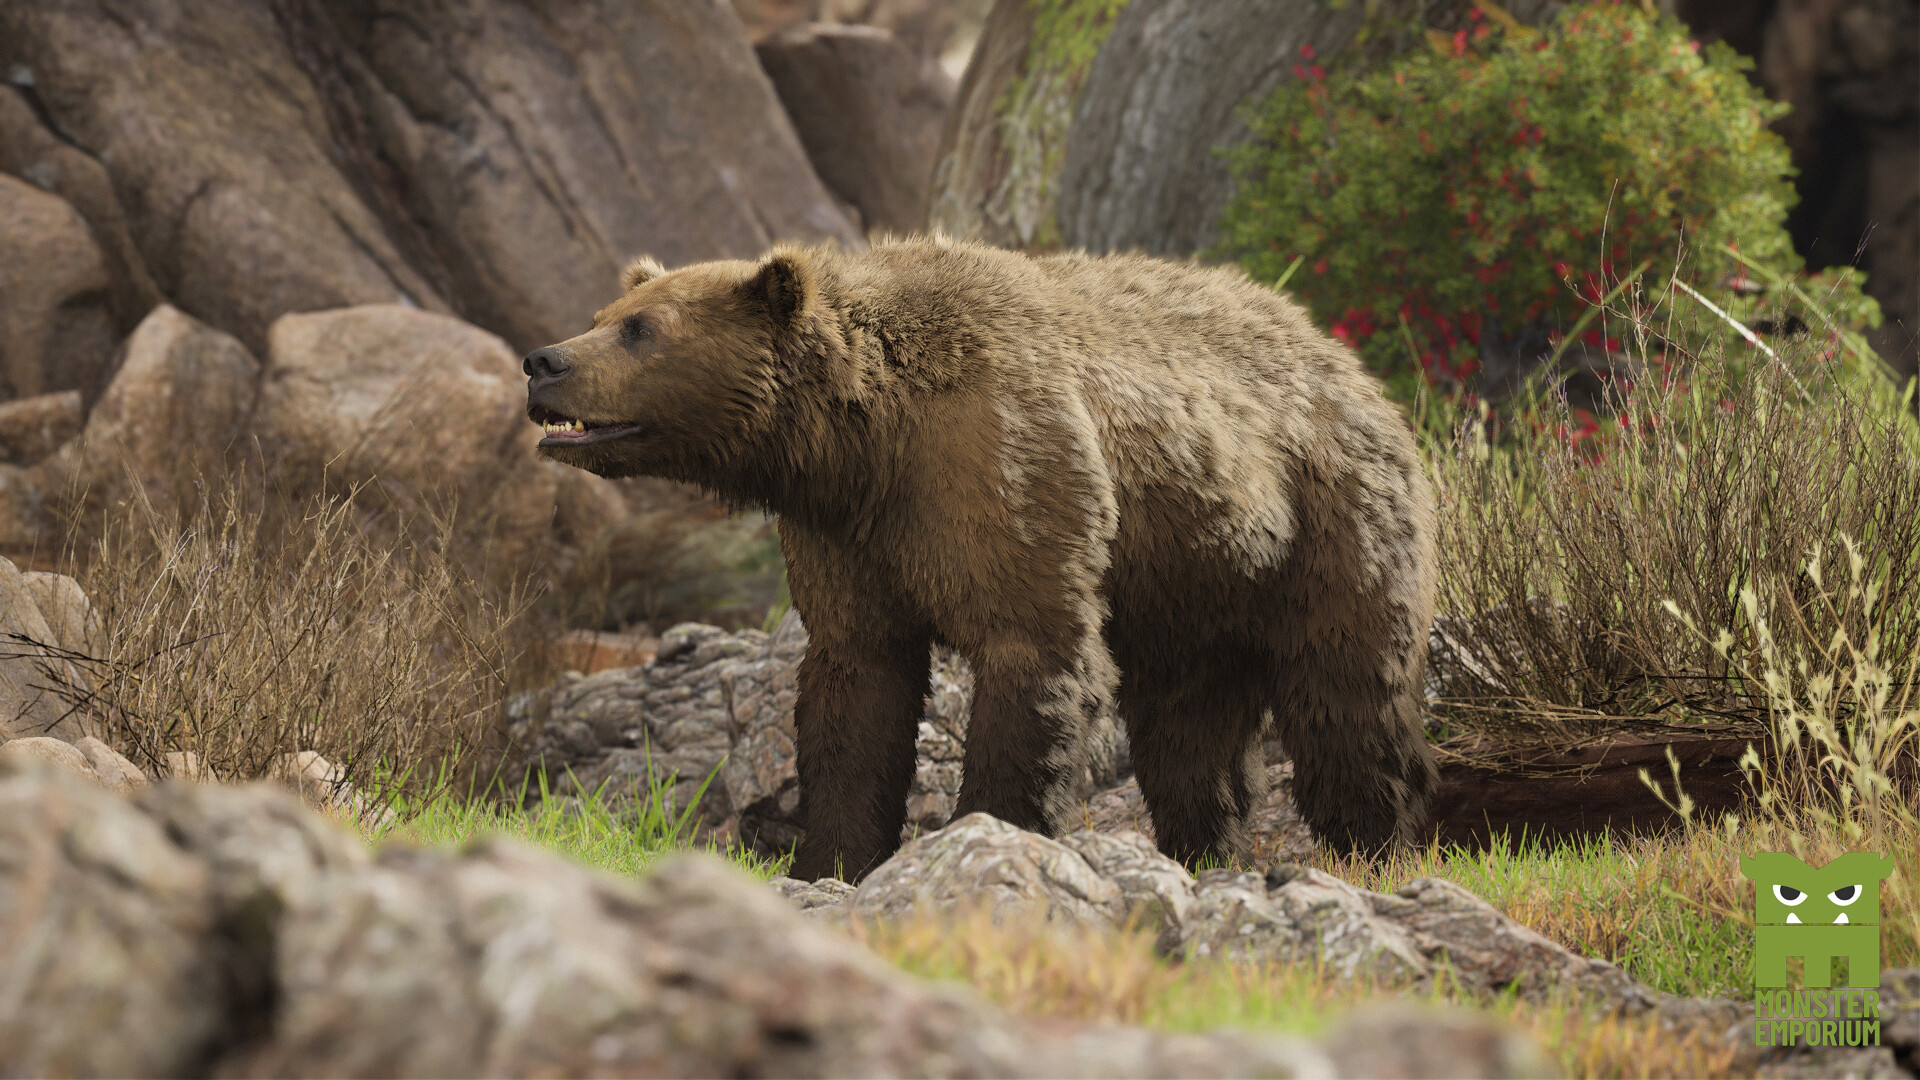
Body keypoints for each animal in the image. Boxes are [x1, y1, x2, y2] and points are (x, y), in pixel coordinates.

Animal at [524, 235, 1439, 882]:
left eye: (642, 329)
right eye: (606, 312)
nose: (543, 360)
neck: (867, 443)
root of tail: (1348, 363)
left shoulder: (1007, 466)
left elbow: (1033, 655)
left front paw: (991, 824)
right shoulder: (848, 539)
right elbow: (855, 688)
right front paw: (829, 858)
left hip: (1325, 524)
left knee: (1346, 696)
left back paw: (1372, 846)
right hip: (1195, 578)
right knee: (1189, 729)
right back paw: (1205, 848)